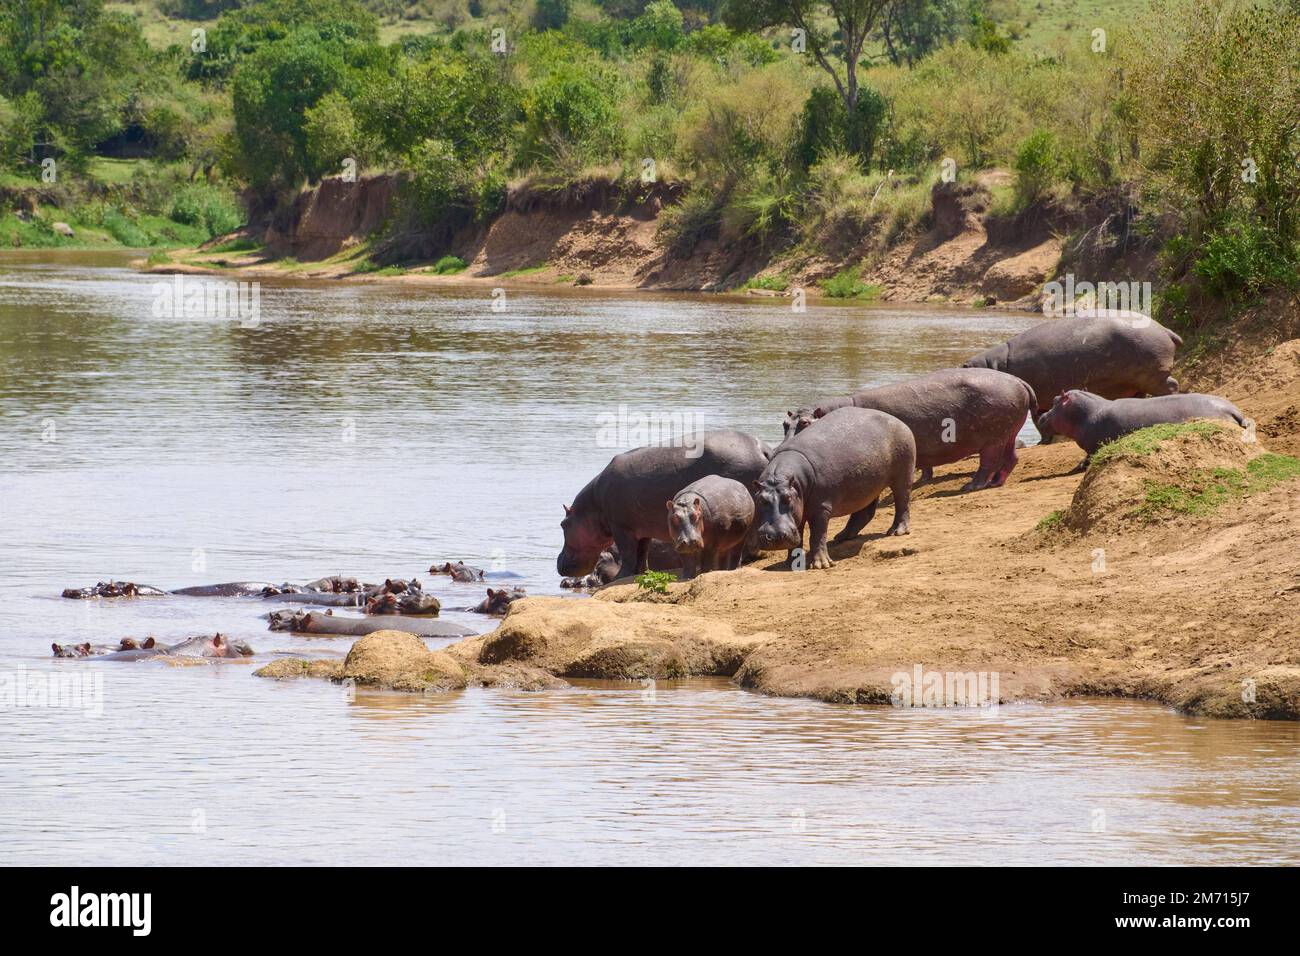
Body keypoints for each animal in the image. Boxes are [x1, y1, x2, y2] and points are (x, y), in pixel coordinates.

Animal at [559, 430, 773, 580]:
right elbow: (642, 552)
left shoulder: (620, 527)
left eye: (563, 525)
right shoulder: (641, 528)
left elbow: (628, 553)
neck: (592, 507)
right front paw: (641, 572)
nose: (559, 561)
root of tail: (763, 447)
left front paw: (620, 576)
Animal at [752, 407, 915, 570]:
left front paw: (821, 565)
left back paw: (896, 531)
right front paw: (791, 563)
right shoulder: (799, 511)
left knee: (902, 500)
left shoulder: (821, 508)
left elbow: (818, 535)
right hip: (866, 486)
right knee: (864, 512)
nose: (775, 537)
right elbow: (798, 535)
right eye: (760, 500)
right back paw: (842, 537)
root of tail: (897, 420)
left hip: (902, 475)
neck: (785, 480)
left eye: (788, 498)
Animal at [786, 368, 1037, 489]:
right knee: (1011, 458)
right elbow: (925, 466)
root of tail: (1019, 381)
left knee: (988, 463)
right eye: (785, 423)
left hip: (992, 438)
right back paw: (996, 483)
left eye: (805, 423)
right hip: (1009, 433)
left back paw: (970, 486)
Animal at [962, 314, 1183, 440]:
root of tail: (1164, 329)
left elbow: (1037, 420)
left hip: (1154, 375)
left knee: (1171, 385)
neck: (996, 367)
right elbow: (1041, 418)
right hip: (1137, 382)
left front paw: (1045, 440)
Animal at [1036, 390, 1249, 456]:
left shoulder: (1091, 448)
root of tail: (1233, 410)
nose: (1041, 417)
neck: (1087, 413)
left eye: (1055, 400)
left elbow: (1087, 458)